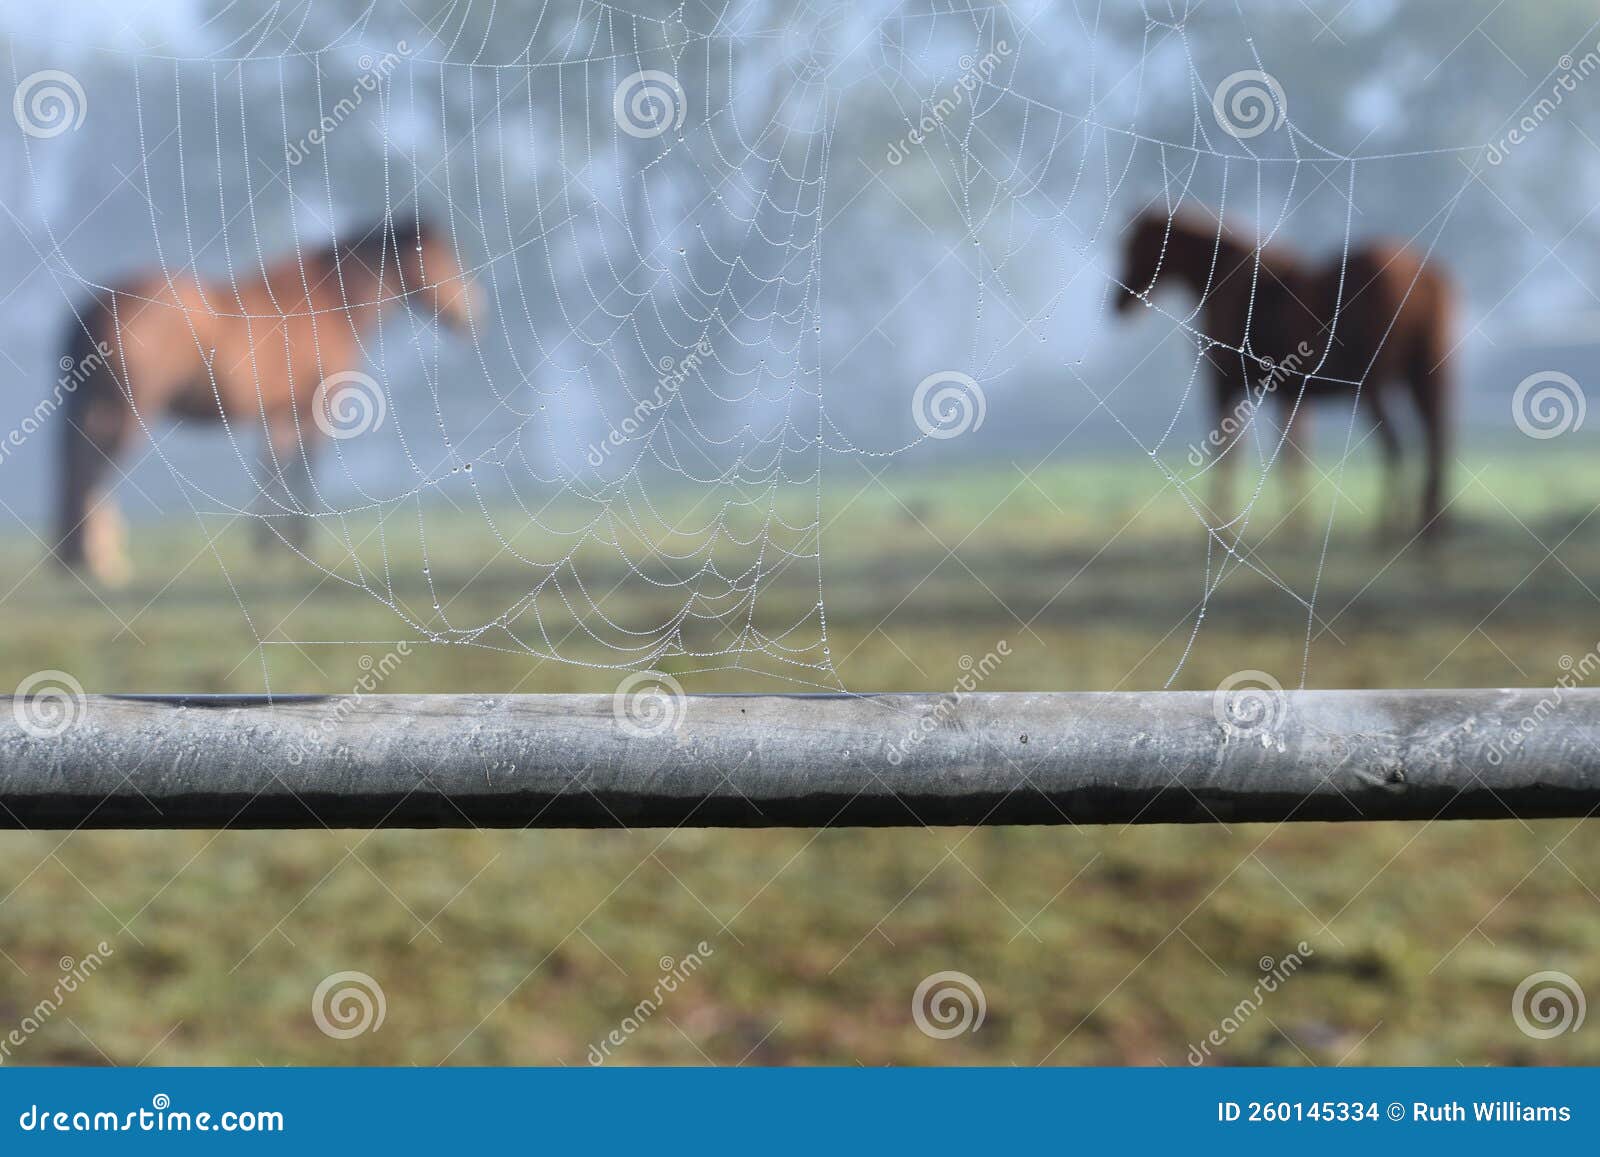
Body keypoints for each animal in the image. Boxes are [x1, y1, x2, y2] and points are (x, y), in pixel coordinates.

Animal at [53, 216, 478, 585]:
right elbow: (300, 469)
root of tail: (93, 307)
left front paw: (270, 543)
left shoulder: (279, 412)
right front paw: (296, 544)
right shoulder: (312, 406)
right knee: (93, 467)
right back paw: (100, 558)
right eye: (440, 257)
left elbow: (273, 469)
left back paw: (76, 556)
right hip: (129, 408)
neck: (327, 300)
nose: (474, 315)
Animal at [1112, 206, 1454, 539]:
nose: (1118, 304)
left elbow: (1230, 452)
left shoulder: (1225, 383)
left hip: (1374, 381)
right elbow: (1292, 455)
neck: (1220, 275)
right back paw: (1427, 522)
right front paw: (1297, 524)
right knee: (1434, 438)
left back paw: (1389, 525)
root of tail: (1427, 273)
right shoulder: (1290, 391)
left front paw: (1219, 523)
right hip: (1425, 371)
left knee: (1396, 445)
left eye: (1133, 246)